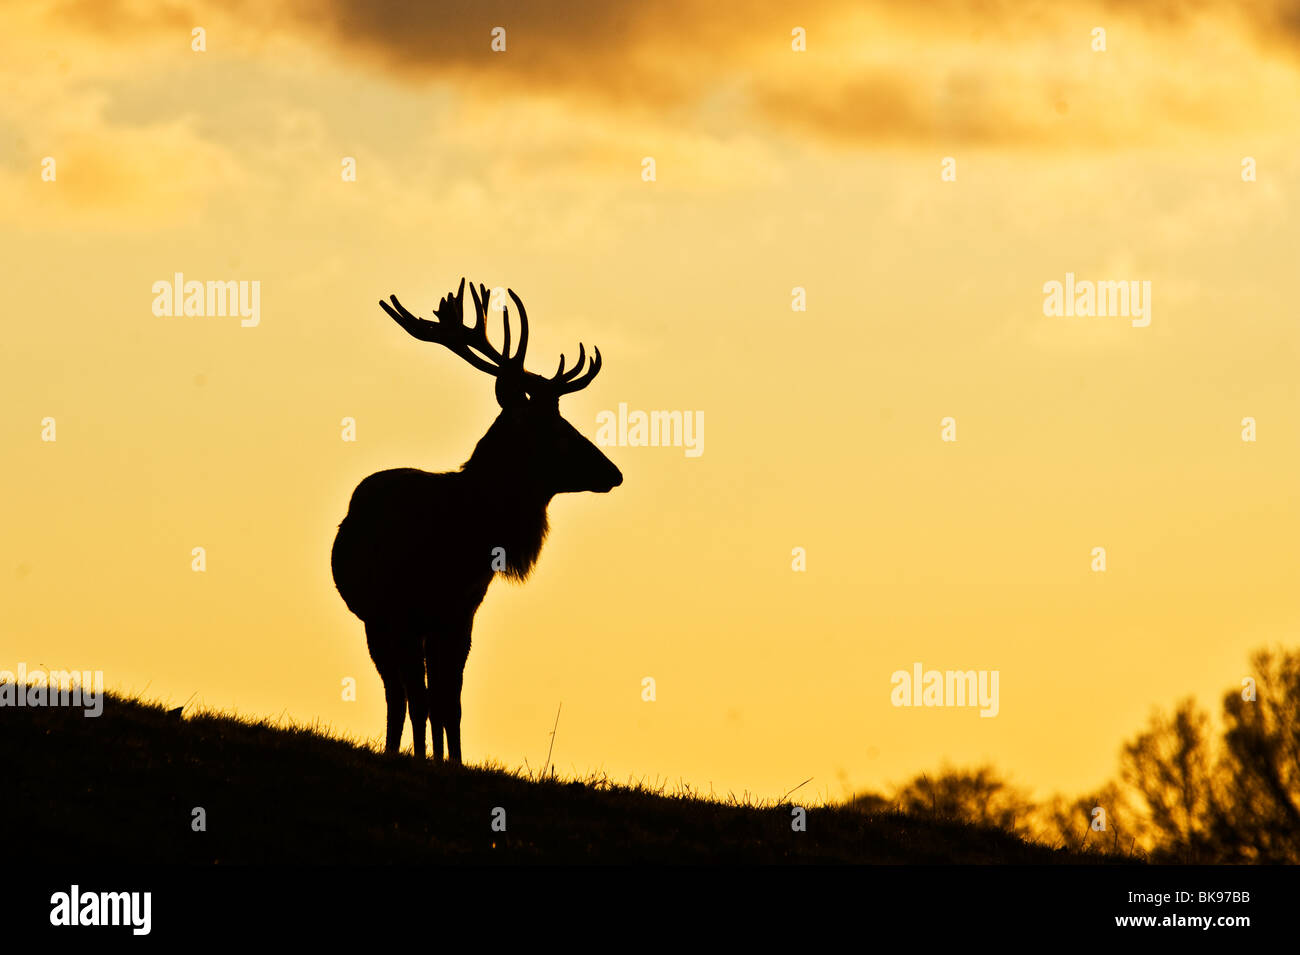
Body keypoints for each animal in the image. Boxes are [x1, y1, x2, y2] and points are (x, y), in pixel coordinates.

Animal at [331, 278, 622, 763]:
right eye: (556, 430)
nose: (614, 472)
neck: (466, 536)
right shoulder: (405, 610)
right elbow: (422, 698)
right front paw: (425, 759)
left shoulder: (463, 612)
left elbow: (452, 700)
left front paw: (453, 761)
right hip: (376, 619)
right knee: (399, 693)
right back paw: (397, 752)